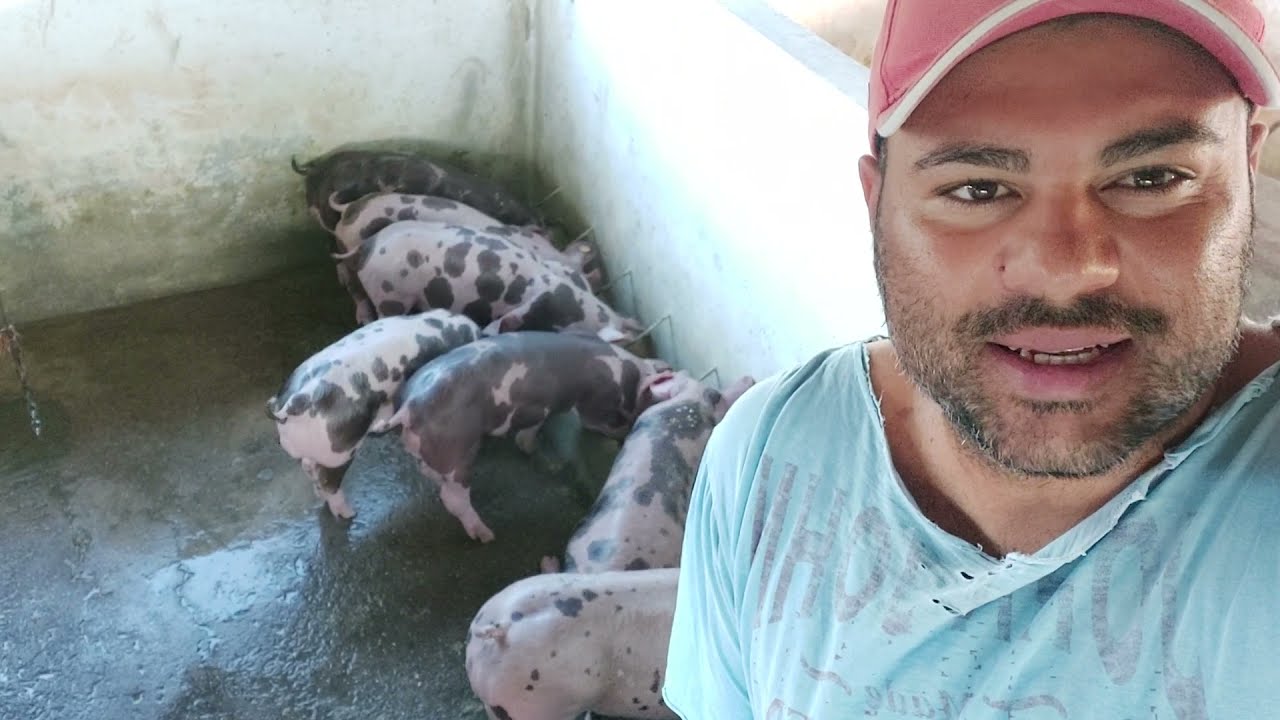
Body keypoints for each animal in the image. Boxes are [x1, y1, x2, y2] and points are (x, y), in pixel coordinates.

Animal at [371, 331, 672, 543]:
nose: (626, 434)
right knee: (453, 498)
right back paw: (486, 535)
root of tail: (409, 407)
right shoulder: (595, 401)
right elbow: (589, 420)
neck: (624, 373)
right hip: (459, 451)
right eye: (646, 399)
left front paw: (528, 447)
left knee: (432, 474)